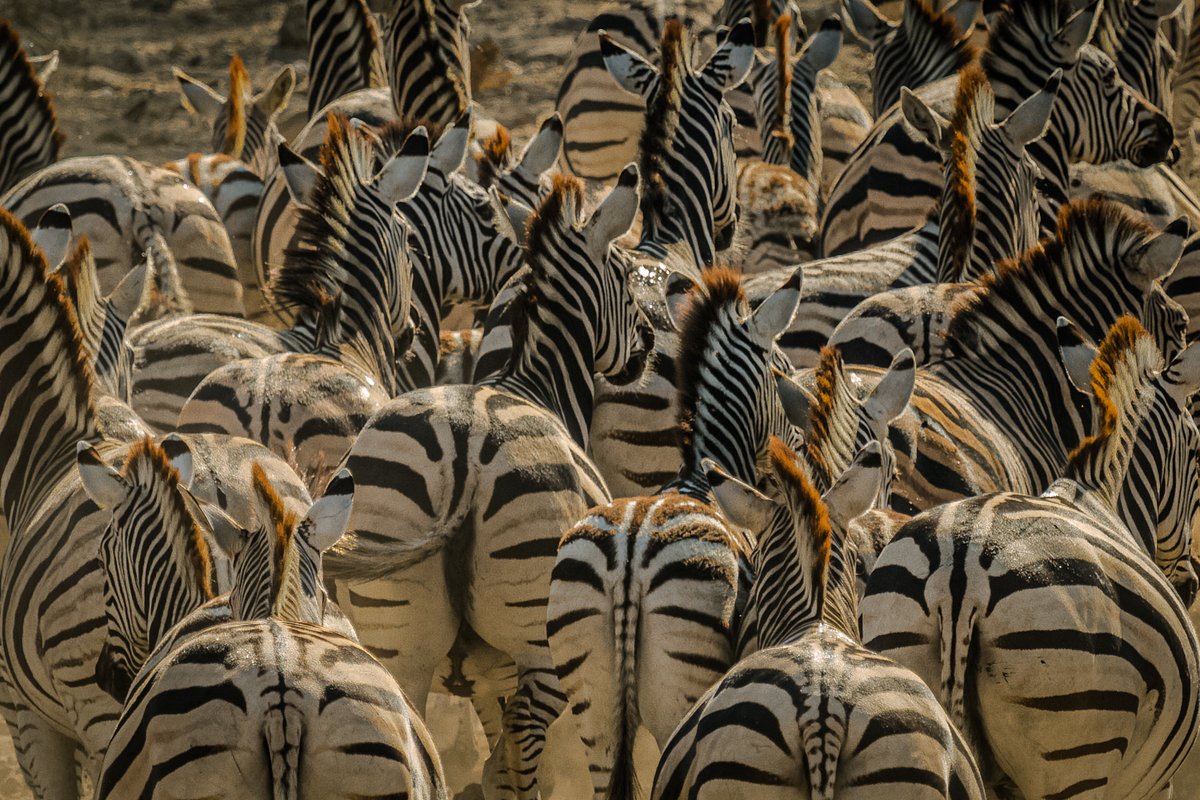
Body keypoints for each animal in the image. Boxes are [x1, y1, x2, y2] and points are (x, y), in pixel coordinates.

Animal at [324, 169, 649, 799]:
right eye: (623, 276)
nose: (646, 345)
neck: (532, 382)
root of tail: (464, 447)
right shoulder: (514, 664)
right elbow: (513, 759)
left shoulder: (485, 670)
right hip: (540, 637)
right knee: (520, 750)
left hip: (395, 628)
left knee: (416, 725)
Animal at [862, 316, 1200, 797]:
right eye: (1195, 448)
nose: (1189, 587)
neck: (1101, 496)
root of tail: (960, 567)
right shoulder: (1155, 785)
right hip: (1075, 740)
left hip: (902, 716)